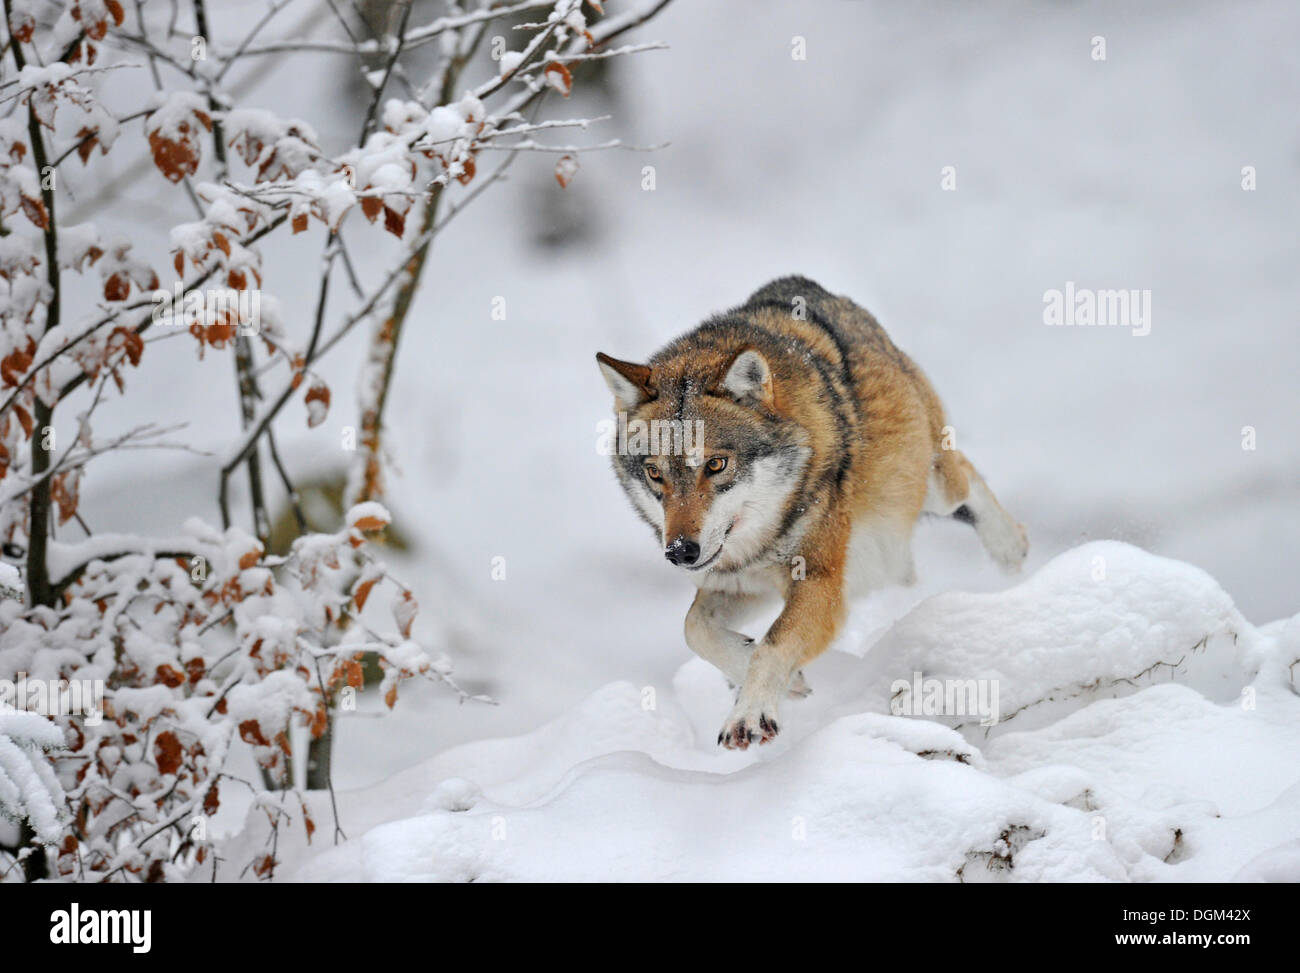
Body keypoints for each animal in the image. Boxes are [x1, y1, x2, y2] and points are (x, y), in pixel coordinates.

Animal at [597, 276, 1027, 749]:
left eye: (716, 464)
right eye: (655, 473)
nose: (679, 552)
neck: (765, 535)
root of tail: (807, 284)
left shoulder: (819, 585)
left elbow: (775, 643)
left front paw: (749, 713)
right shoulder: (742, 583)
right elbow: (694, 629)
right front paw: (776, 678)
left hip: (928, 483)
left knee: (965, 475)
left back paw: (1011, 549)